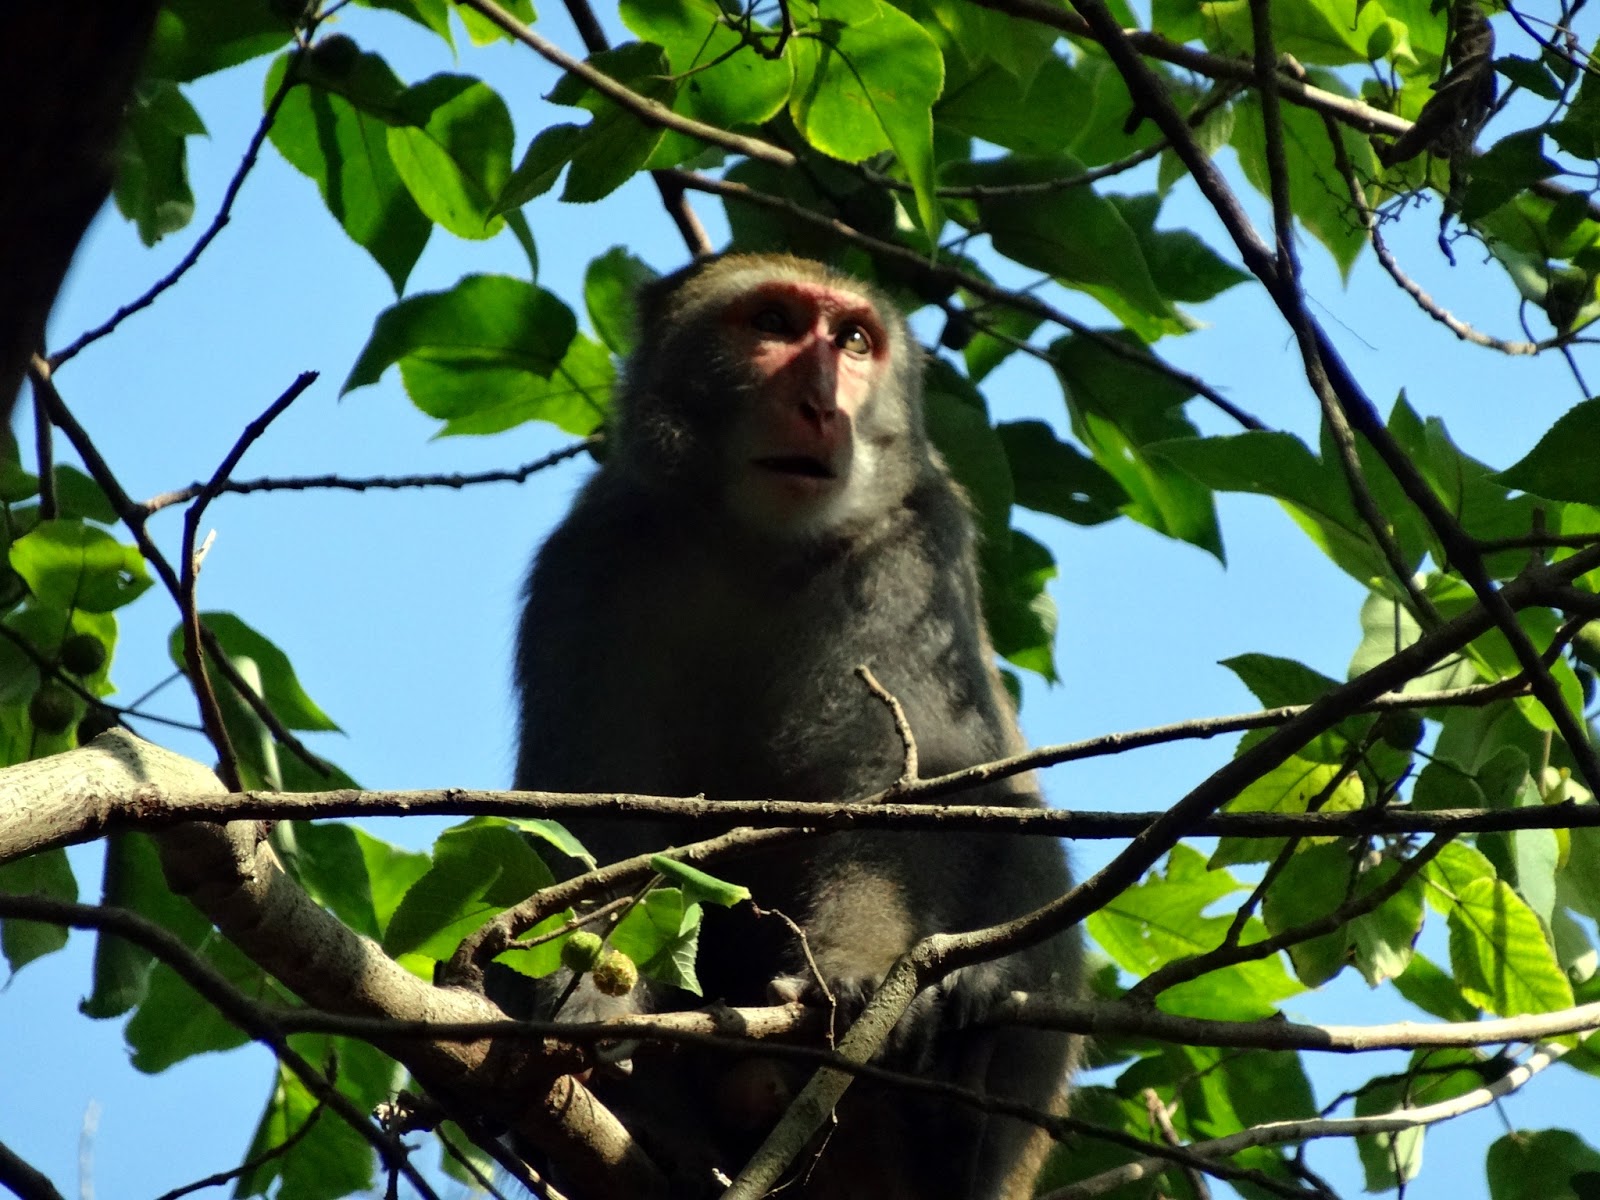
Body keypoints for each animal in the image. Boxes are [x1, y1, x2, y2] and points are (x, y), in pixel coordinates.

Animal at [509, 254, 1080, 1199]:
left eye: (852, 341)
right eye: (774, 324)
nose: (823, 403)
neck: (757, 543)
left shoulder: (909, 554)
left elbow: (910, 786)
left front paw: (858, 968)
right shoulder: (590, 560)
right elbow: (593, 812)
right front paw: (584, 994)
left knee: (1023, 839)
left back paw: (952, 1116)